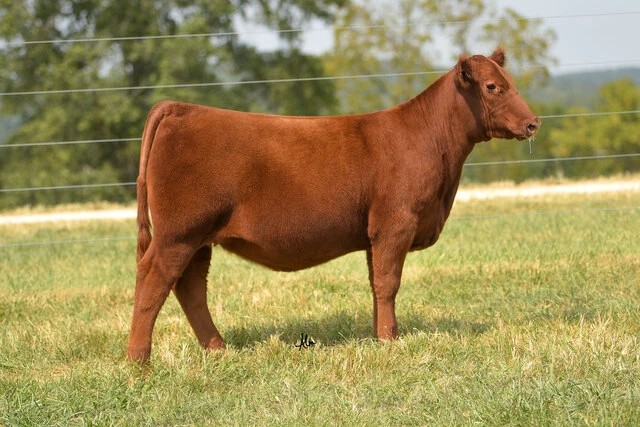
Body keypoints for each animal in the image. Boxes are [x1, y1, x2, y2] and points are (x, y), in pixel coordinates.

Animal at [127, 48, 540, 363]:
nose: (533, 122)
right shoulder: (395, 223)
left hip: (198, 239)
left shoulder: (376, 233)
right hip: (179, 232)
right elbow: (388, 283)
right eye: (492, 86)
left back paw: (217, 349)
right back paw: (139, 359)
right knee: (154, 279)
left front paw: (379, 335)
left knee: (189, 288)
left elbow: (376, 283)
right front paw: (391, 340)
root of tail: (180, 107)